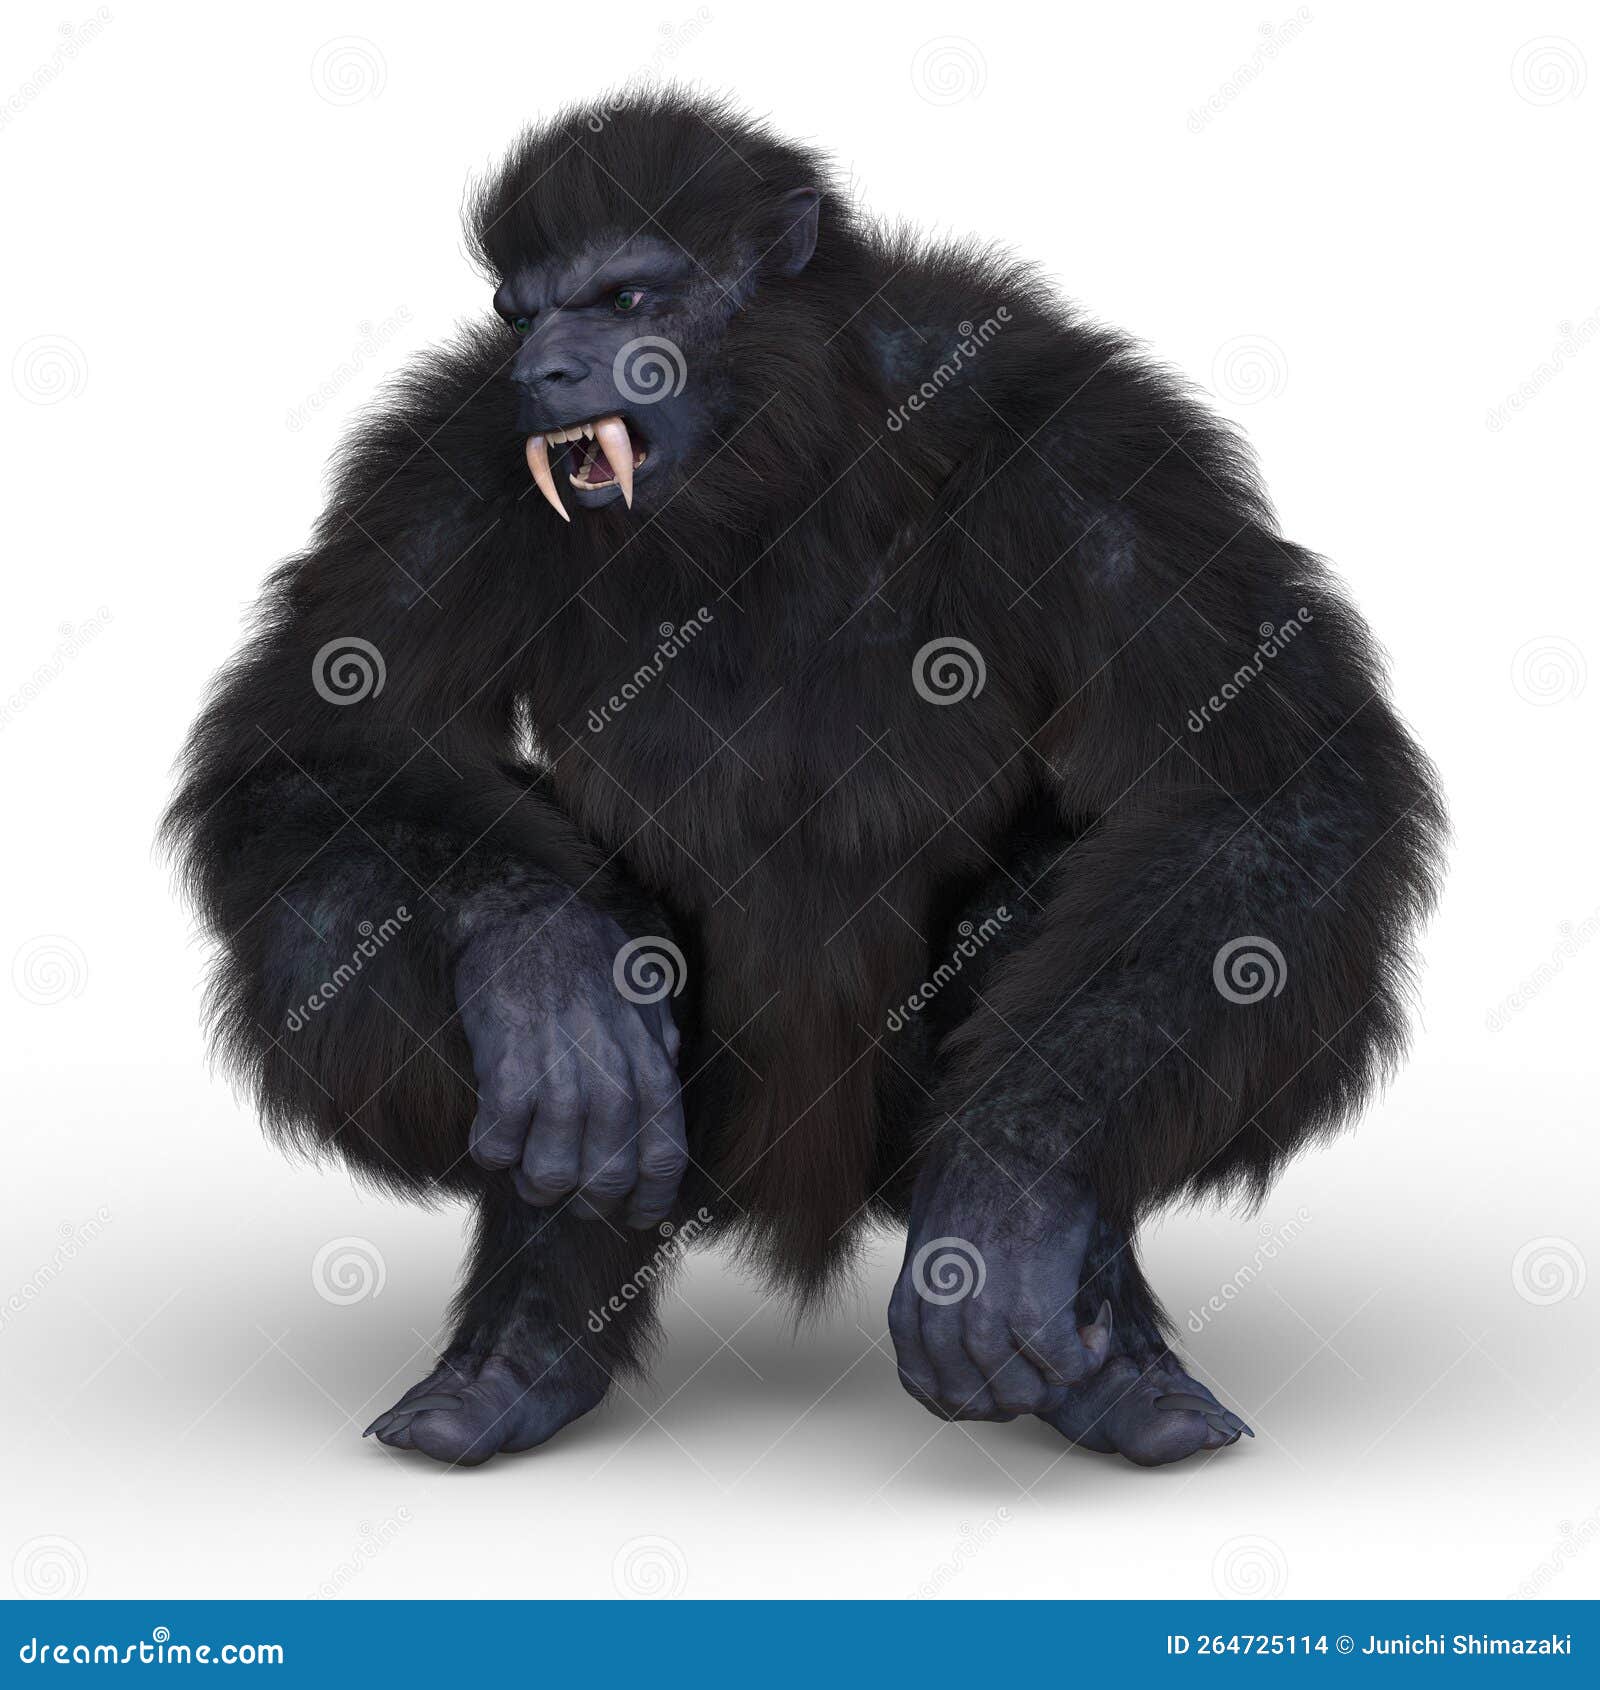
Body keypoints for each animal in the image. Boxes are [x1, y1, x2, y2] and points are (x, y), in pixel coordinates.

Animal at [164, 89, 1445, 1468]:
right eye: (520, 313)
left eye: (625, 298)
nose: (545, 369)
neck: (774, 462)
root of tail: (797, 1196)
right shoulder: (443, 468)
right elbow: (317, 739)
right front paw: (547, 968)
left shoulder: (1092, 452)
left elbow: (1263, 774)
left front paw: (1012, 1195)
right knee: (337, 927)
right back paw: (525, 1336)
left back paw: (1113, 1356)